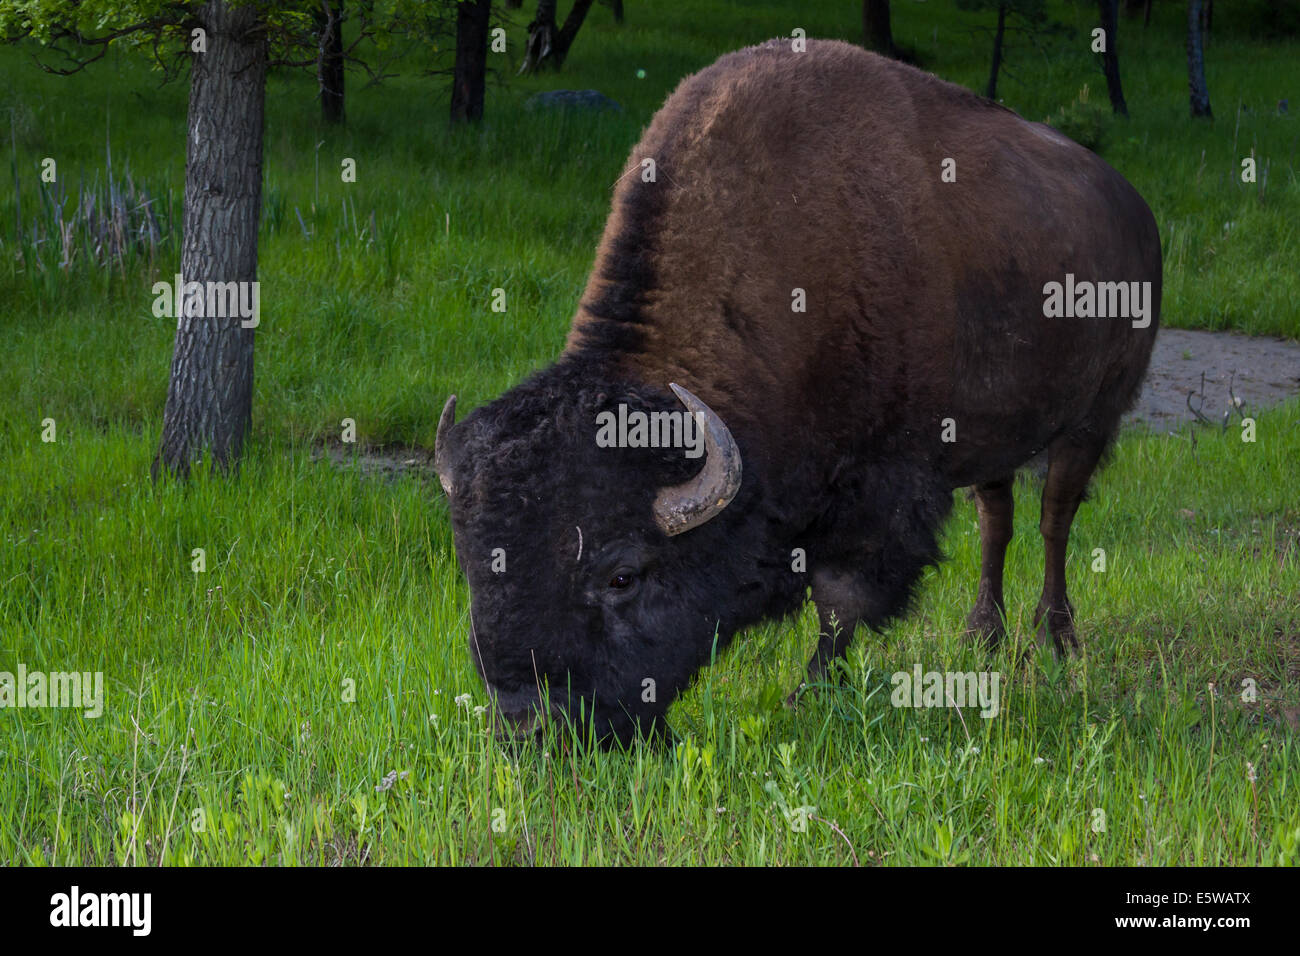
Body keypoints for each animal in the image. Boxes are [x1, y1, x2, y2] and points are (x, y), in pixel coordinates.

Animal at [435, 39, 1161, 744]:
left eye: (623, 575)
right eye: (474, 565)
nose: (530, 724)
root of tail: (1135, 208)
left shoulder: (881, 486)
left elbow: (841, 599)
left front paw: (805, 696)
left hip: (1091, 422)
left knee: (1054, 521)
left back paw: (1056, 639)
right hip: (997, 440)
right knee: (997, 519)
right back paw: (982, 636)